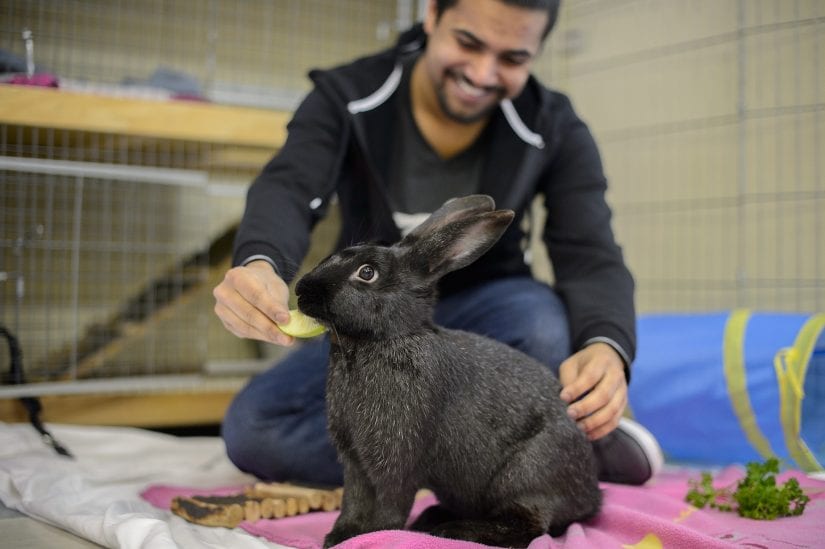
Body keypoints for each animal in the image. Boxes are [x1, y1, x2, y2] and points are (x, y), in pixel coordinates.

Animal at [294, 194, 602, 548]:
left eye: (367, 272)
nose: (302, 290)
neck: (379, 341)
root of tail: (591, 499)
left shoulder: (396, 459)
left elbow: (389, 504)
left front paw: (376, 534)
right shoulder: (354, 463)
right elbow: (353, 501)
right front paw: (339, 536)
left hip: (527, 473)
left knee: (530, 526)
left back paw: (451, 530)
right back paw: (433, 518)